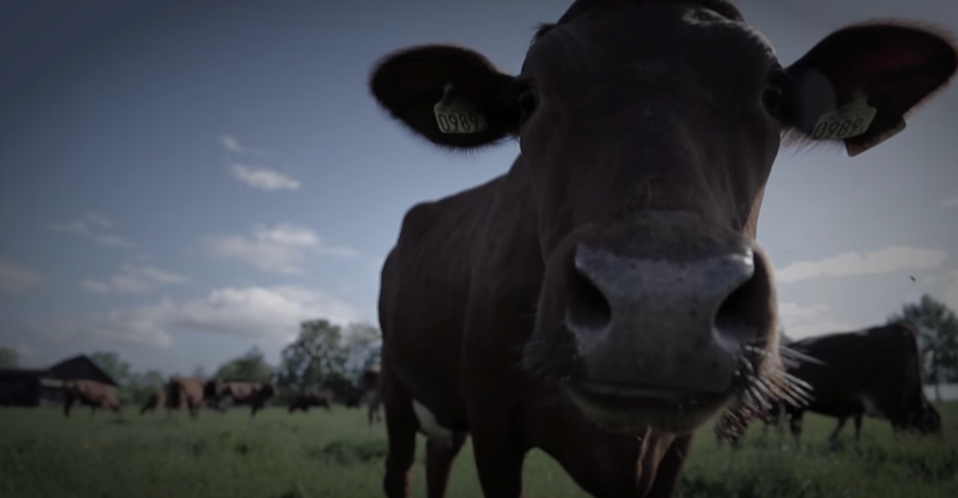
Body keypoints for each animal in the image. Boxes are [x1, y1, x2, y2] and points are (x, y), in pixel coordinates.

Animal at [782, 323, 942, 443]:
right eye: (931, 426)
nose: (939, 444)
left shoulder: (855, 407)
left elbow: (854, 425)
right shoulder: (891, 409)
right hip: (793, 406)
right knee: (794, 428)